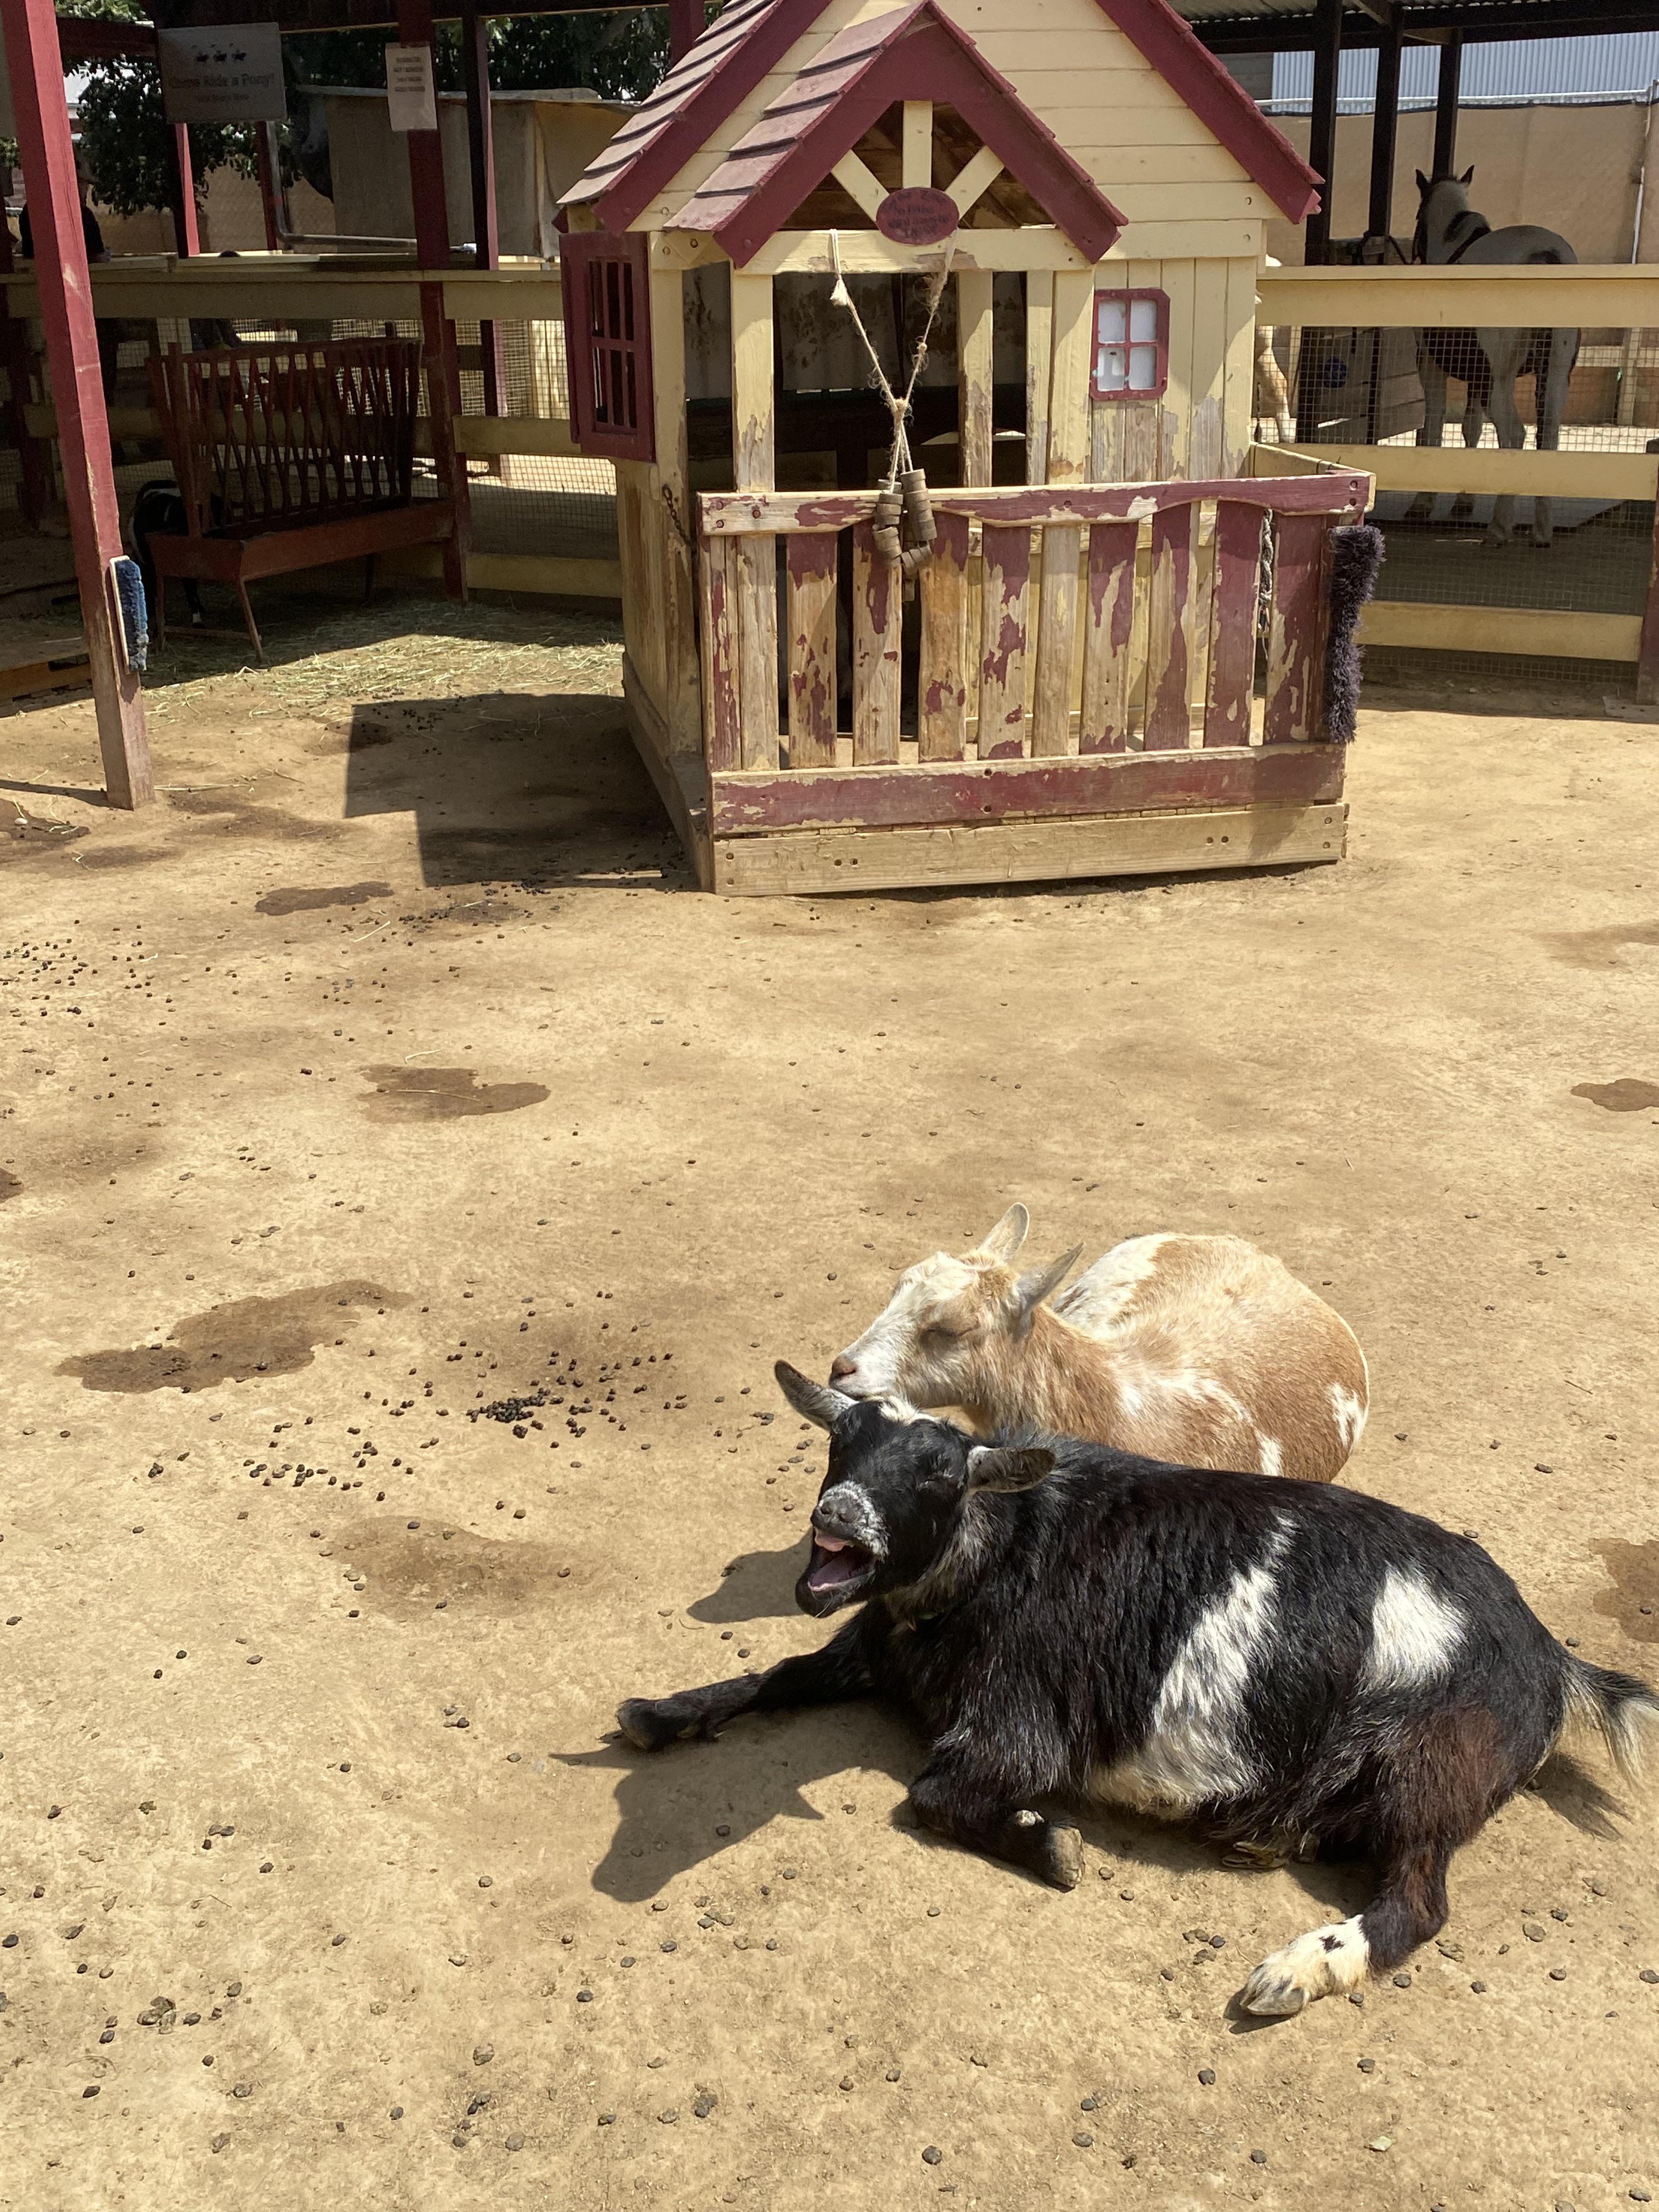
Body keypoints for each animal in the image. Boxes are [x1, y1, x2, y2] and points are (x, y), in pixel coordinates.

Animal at [619, 1370, 1656, 2016]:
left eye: (940, 1473)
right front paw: (661, 1713)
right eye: (839, 1440)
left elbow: (935, 1793)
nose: (836, 1516)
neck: (1001, 1547)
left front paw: (1048, 1846)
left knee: (1416, 1903)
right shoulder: (871, 1648)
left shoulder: (1015, 1731)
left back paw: (1292, 1973)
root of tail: (1547, 1653)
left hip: (1429, 1770)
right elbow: (778, 1674)